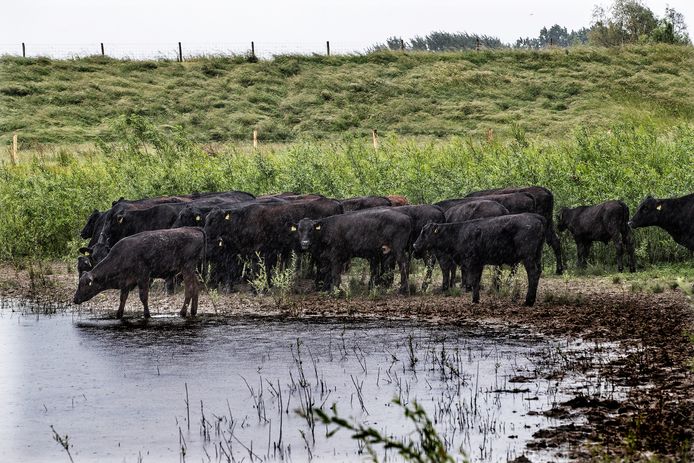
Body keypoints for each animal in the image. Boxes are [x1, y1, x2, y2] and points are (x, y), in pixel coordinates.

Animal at [72, 227, 206, 318]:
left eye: (84, 285)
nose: (75, 299)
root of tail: (194, 229)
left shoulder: (143, 276)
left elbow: (143, 297)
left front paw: (147, 314)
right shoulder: (126, 282)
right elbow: (122, 299)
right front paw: (119, 314)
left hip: (187, 266)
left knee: (189, 289)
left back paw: (182, 312)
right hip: (191, 269)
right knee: (196, 286)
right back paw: (193, 311)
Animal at [413, 213, 546, 306]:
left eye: (424, 233)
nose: (414, 245)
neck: (458, 233)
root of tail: (536, 216)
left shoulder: (471, 262)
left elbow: (473, 280)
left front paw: (474, 299)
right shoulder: (479, 263)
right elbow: (476, 280)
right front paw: (476, 299)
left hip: (528, 256)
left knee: (533, 273)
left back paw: (528, 301)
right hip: (537, 255)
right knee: (538, 272)